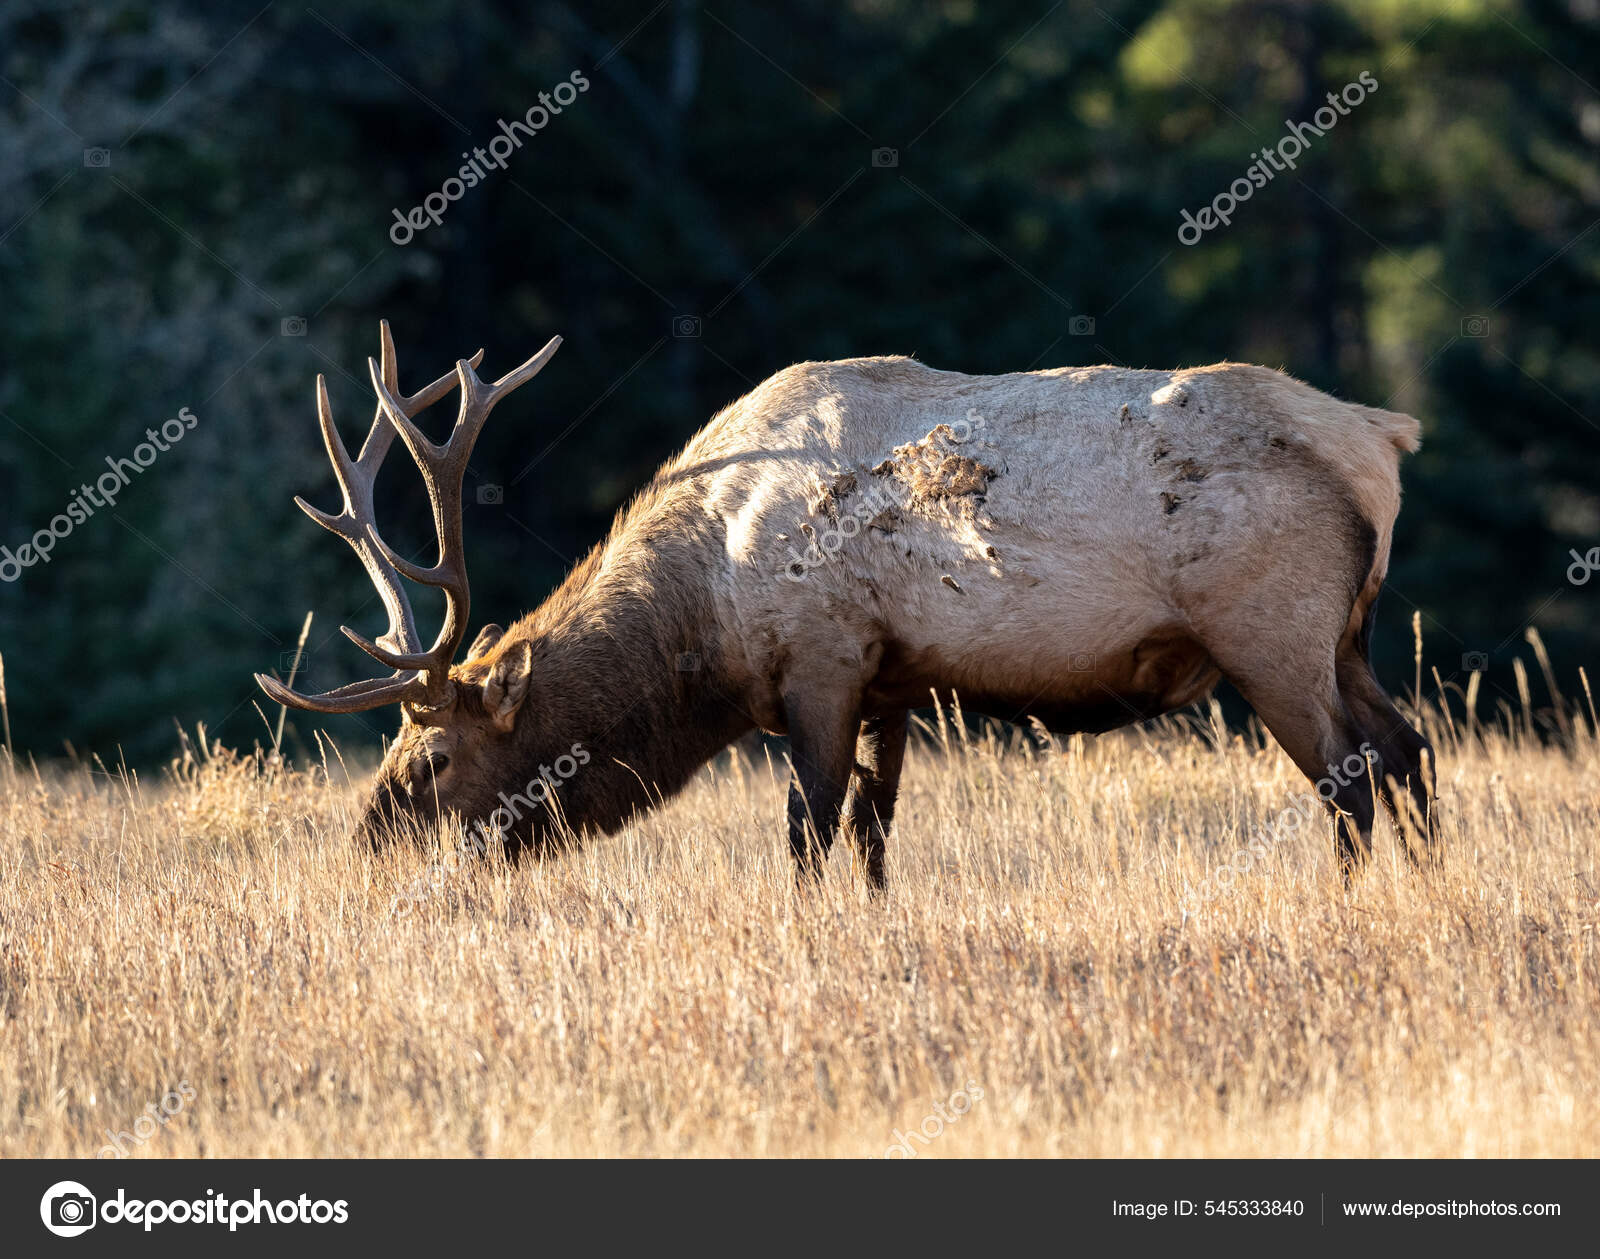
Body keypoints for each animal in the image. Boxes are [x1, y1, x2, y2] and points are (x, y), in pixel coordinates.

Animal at [257, 322, 1438, 892]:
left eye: (431, 759)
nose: (365, 846)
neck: (707, 610)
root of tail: (1381, 441)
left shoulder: (821, 661)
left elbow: (807, 827)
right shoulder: (892, 678)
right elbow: (874, 831)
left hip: (1270, 628)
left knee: (1348, 774)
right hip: (1349, 632)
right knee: (1406, 744)